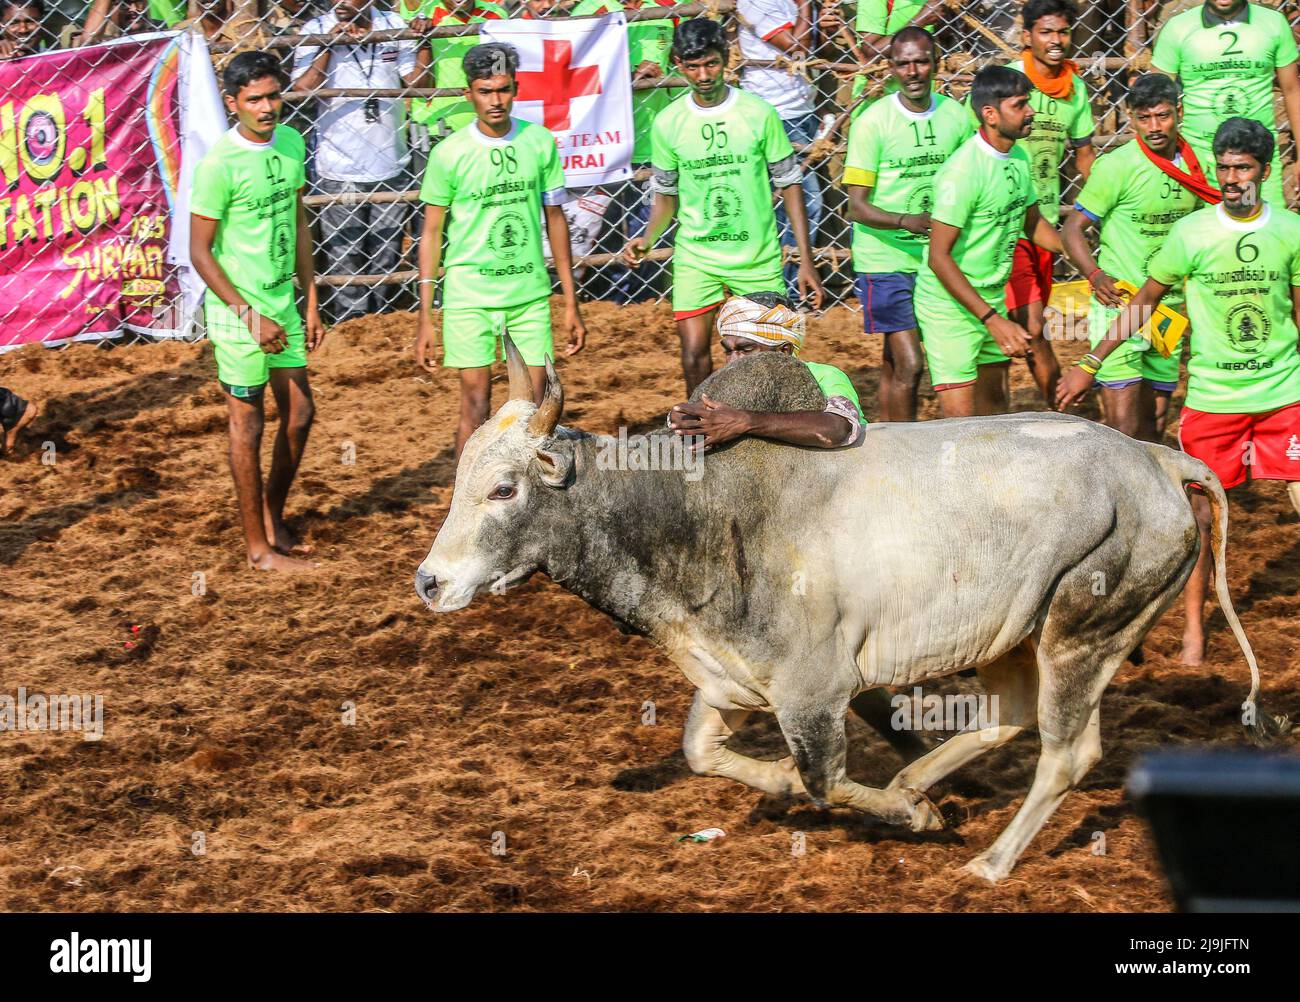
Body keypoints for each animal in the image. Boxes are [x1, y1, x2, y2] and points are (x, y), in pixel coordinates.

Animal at [415, 338, 1284, 882]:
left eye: (504, 489)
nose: (428, 583)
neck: (700, 510)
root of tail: (1153, 461)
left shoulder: (811, 692)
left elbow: (820, 780)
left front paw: (906, 818)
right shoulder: (730, 676)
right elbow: (702, 753)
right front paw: (888, 798)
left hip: (1085, 632)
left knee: (1066, 753)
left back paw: (987, 859)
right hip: (1018, 631)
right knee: (1008, 714)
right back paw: (918, 783)